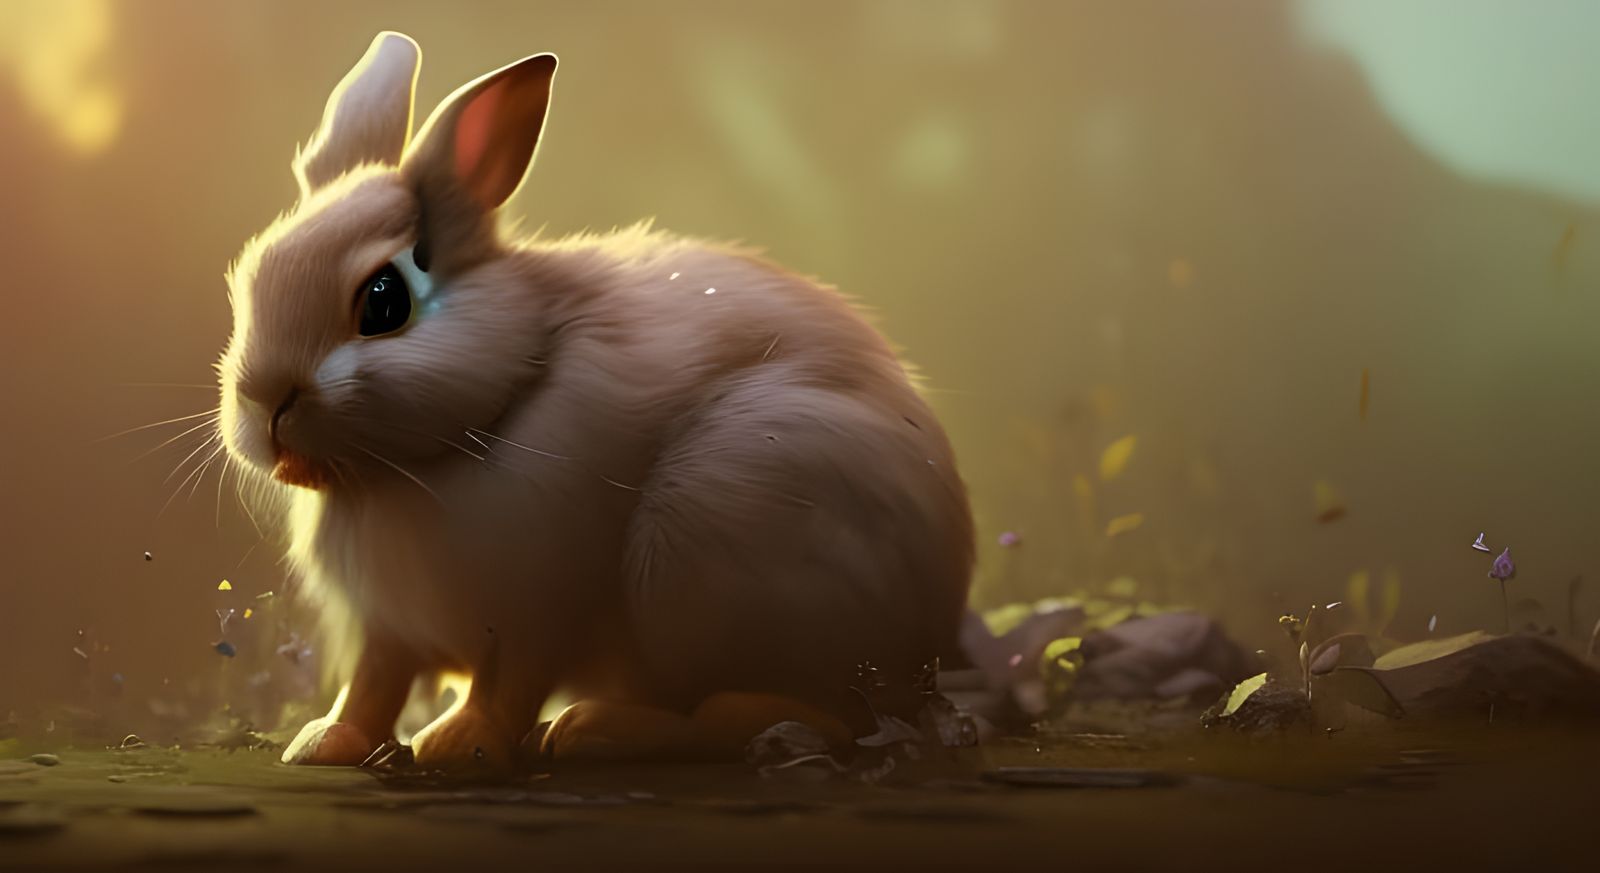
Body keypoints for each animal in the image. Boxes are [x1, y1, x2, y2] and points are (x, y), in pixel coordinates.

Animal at [216, 31, 974, 768]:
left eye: (383, 300)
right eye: (250, 276)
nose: (264, 403)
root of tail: (929, 651)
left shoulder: (538, 608)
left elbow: (509, 684)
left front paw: (463, 745)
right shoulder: (386, 628)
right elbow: (373, 683)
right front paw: (324, 742)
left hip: (720, 535)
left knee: (816, 719)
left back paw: (605, 728)